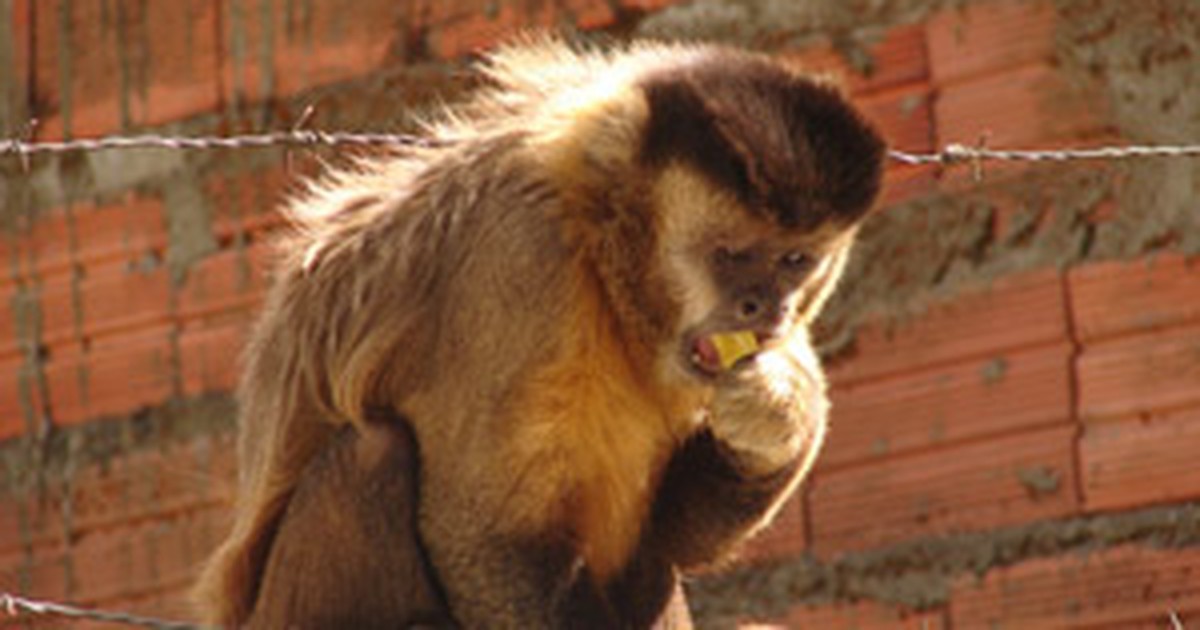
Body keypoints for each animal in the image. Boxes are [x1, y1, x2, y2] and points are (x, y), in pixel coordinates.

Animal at [194, 37, 885, 628]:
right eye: (733, 255)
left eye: (795, 260)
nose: (765, 308)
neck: (601, 259)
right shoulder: (521, 258)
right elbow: (487, 534)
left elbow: (676, 537)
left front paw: (780, 407)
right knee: (371, 451)